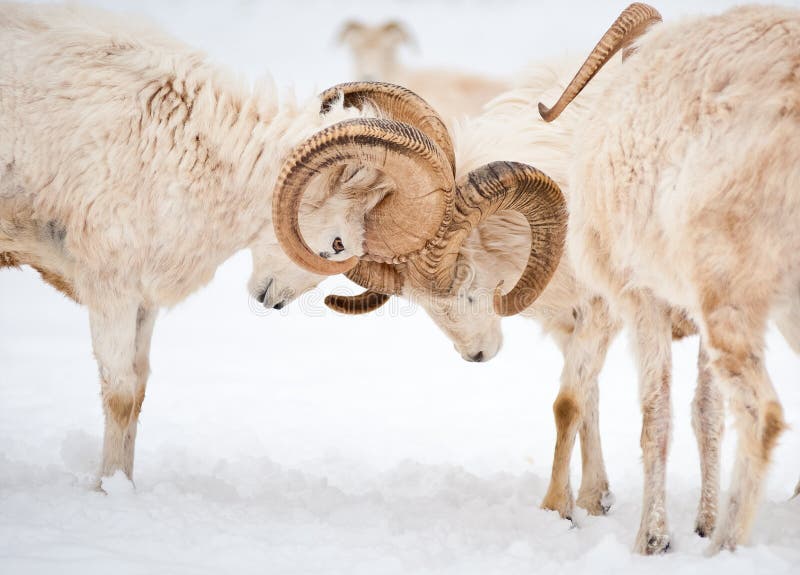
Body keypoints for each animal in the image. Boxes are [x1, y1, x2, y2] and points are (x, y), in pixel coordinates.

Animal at [538, 3, 800, 553]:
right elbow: (705, 414)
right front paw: (698, 522)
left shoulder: (643, 300)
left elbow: (656, 417)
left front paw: (652, 540)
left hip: (731, 295)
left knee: (762, 415)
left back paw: (724, 547)